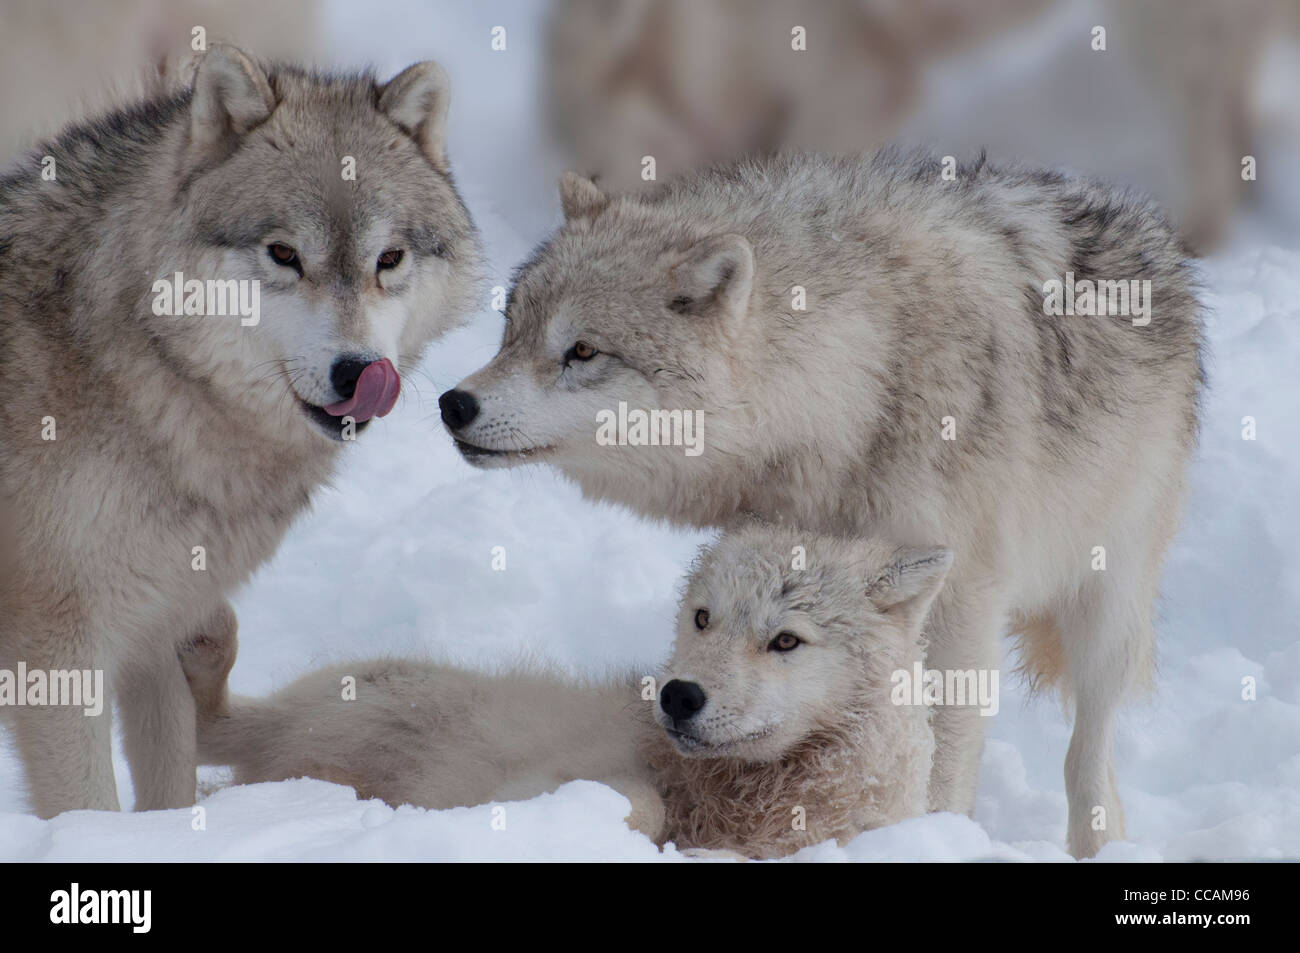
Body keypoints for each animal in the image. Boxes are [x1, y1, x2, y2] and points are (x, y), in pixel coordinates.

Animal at [0, 45, 480, 816]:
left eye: (389, 259)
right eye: (284, 254)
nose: (361, 372)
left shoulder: (155, 630)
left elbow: (169, 788)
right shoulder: (55, 651)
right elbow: (90, 807)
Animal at [180, 527, 943, 859]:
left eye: (785, 641)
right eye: (703, 618)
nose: (678, 696)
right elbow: (640, 802)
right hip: (365, 690)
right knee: (221, 725)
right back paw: (203, 638)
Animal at [439, 151, 1203, 857]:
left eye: (582, 350)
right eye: (510, 329)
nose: (453, 403)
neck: (865, 377)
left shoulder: (963, 604)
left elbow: (944, 751)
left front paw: (931, 834)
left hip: (1107, 608)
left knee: (1088, 752)